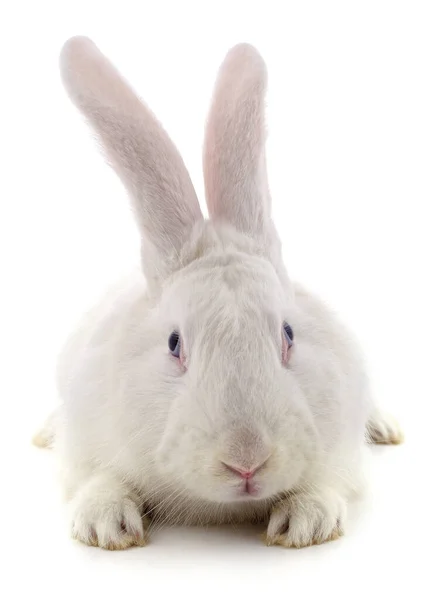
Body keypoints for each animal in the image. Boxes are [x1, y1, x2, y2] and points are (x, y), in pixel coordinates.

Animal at [34, 36, 404, 548]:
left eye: (289, 335)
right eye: (174, 344)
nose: (246, 460)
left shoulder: (341, 452)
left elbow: (328, 483)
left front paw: (304, 522)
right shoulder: (87, 442)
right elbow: (97, 480)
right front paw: (106, 525)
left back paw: (385, 427)